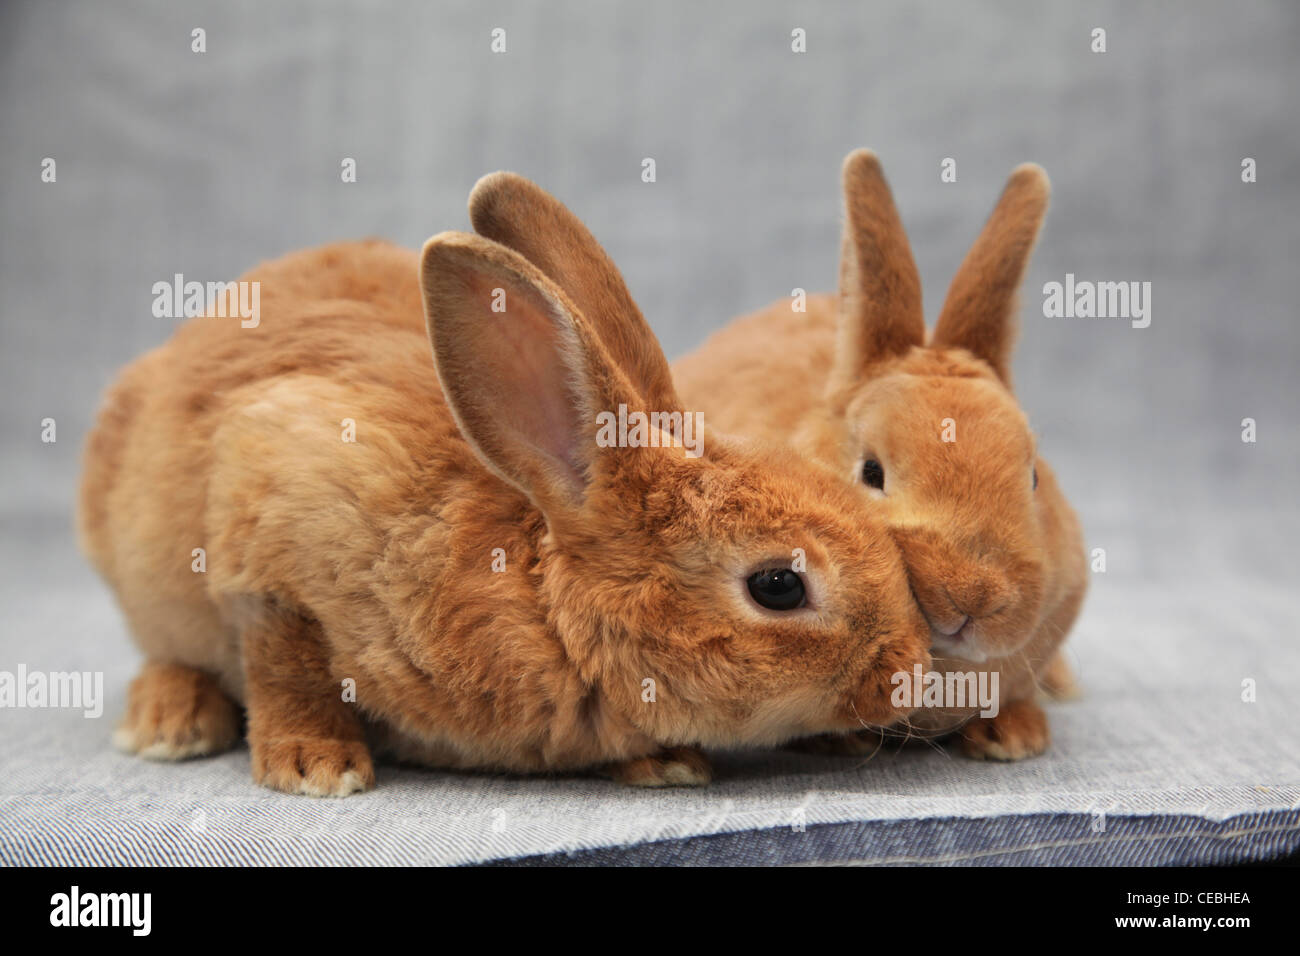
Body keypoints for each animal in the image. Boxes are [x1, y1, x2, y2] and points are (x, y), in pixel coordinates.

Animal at [77, 173, 933, 796]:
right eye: (779, 586)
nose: (909, 676)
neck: (539, 605)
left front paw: (663, 764)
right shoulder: (273, 533)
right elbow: (284, 663)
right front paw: (316, 767)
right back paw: (169, 723)